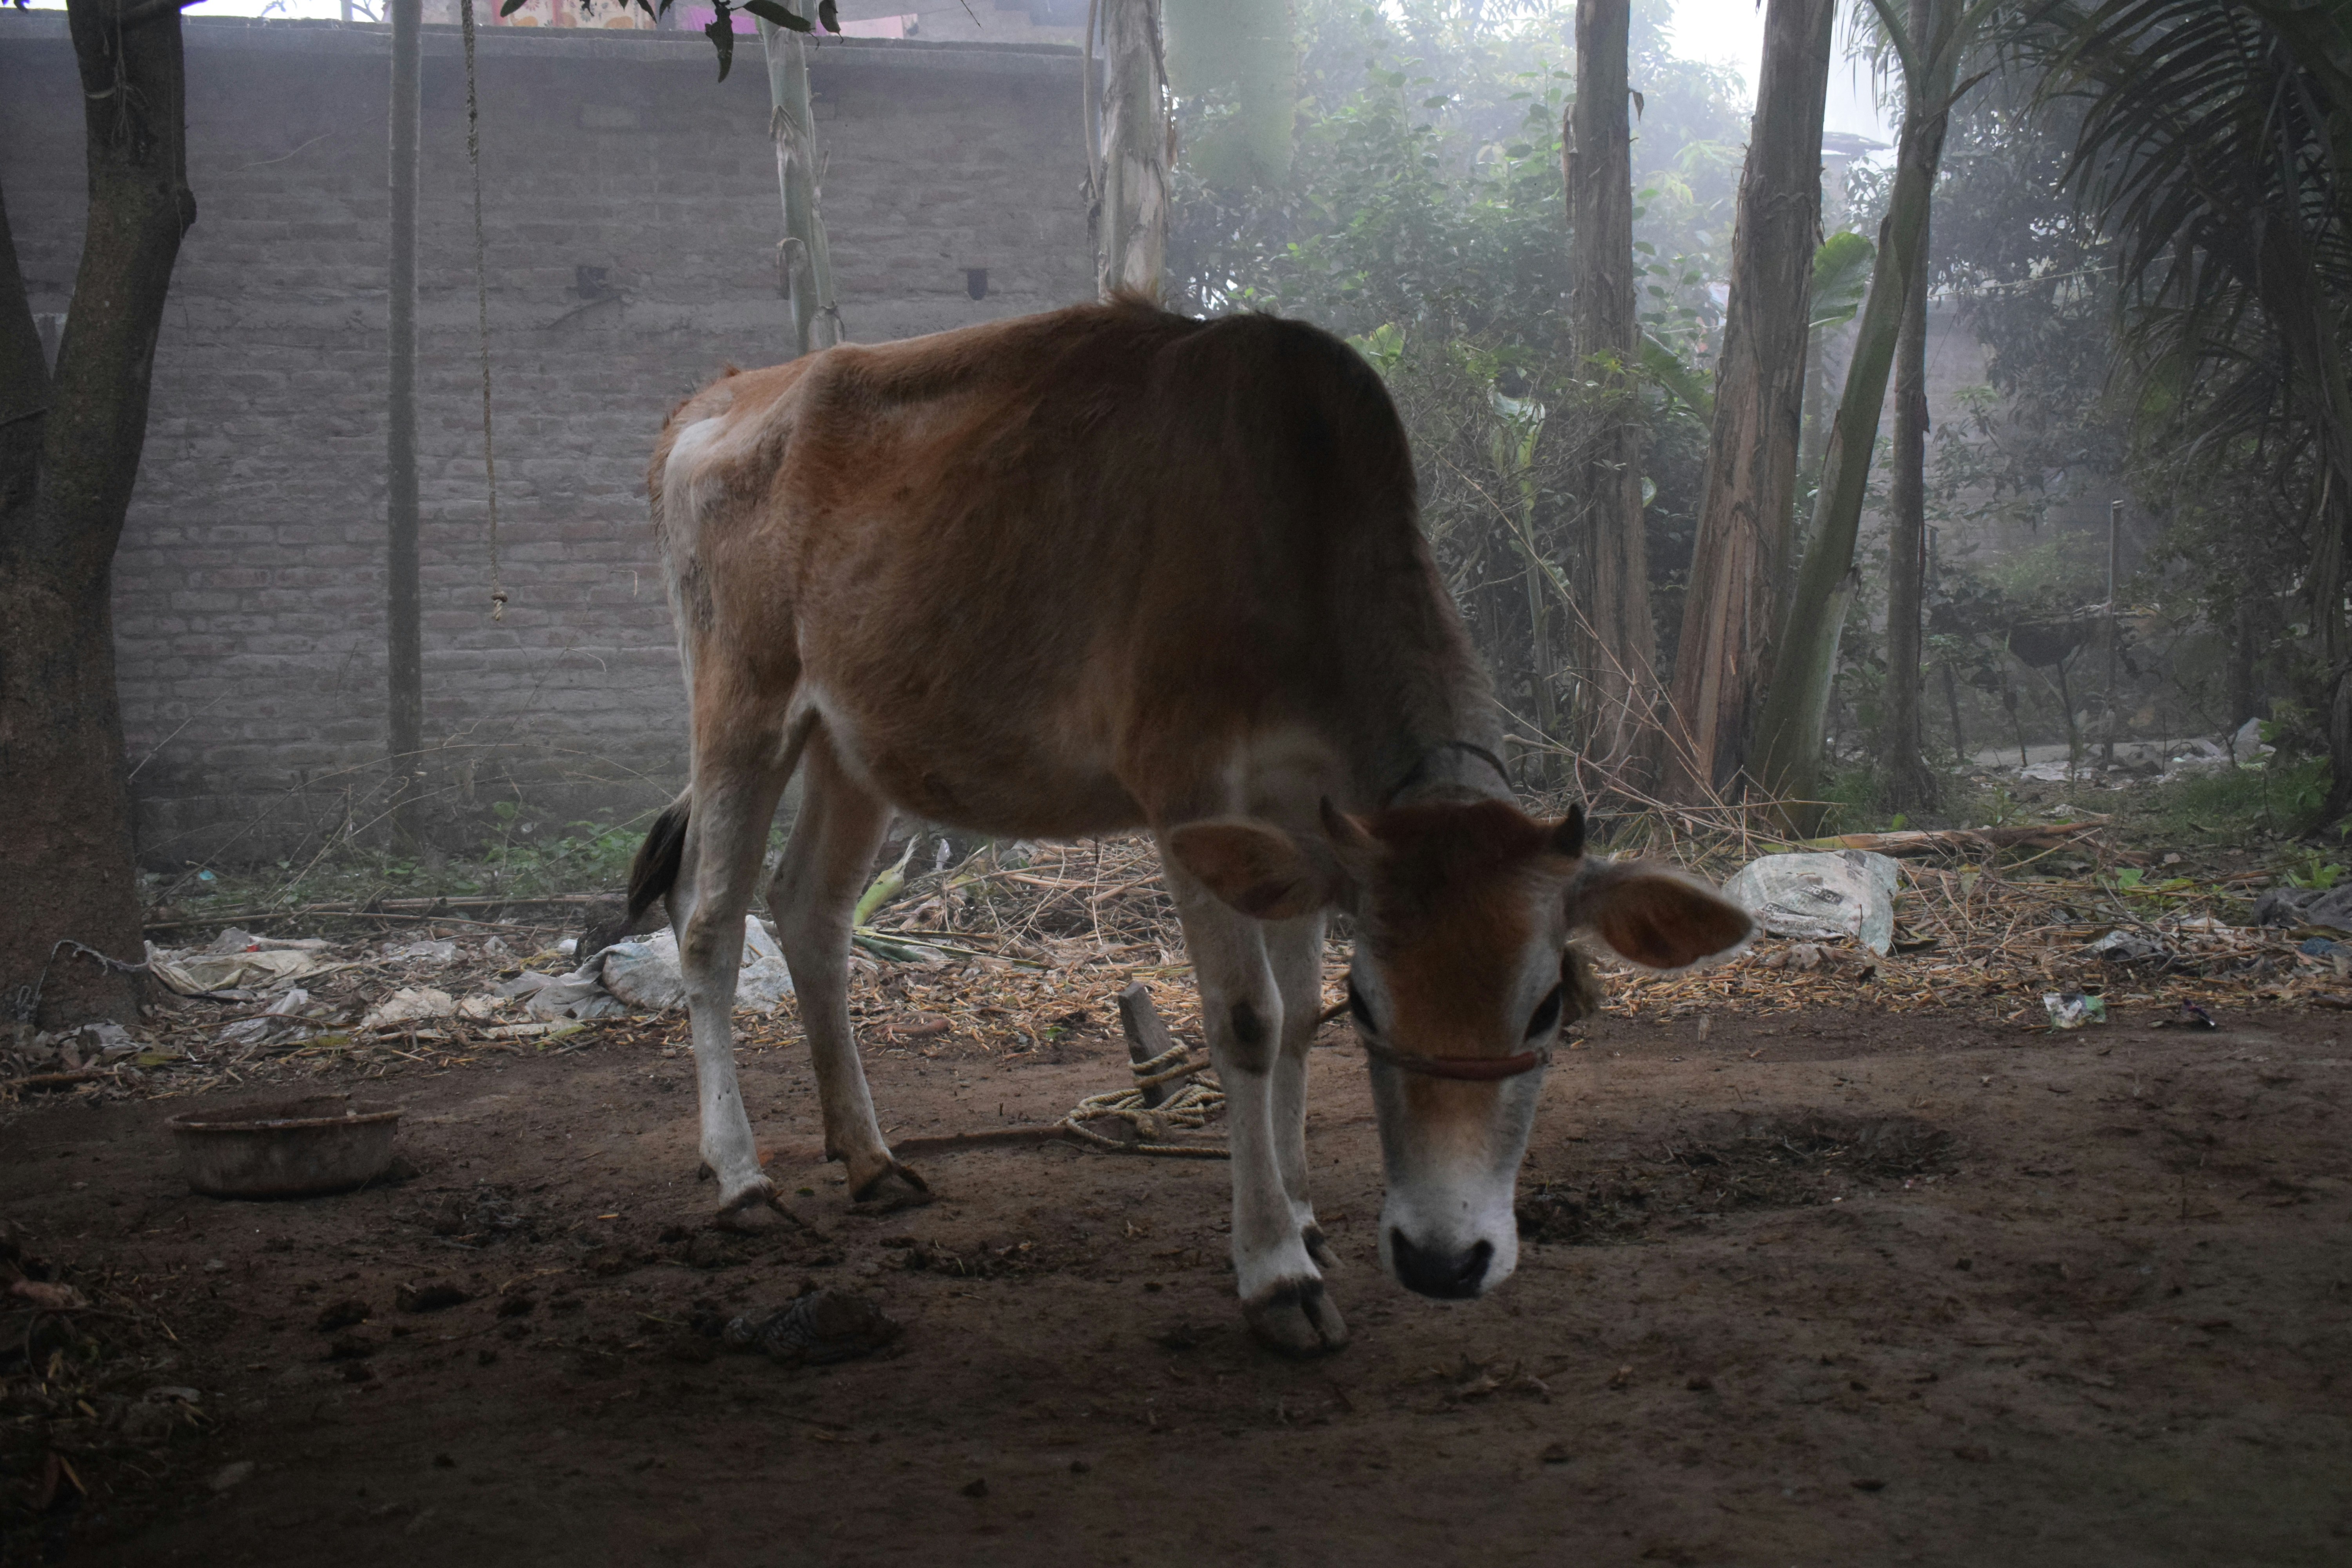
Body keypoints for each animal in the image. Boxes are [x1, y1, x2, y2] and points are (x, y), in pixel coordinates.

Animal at [625, 297, 1752, 1355]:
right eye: (1374, 1004)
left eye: (1550, 1007)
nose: (1444, 1257)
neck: (1298, 539)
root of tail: (711, 399)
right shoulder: (1186, 783)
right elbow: (1247, 1018)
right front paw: (1277, 1274)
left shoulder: (1306, 816)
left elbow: (1295, 1021)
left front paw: (1304, 1216)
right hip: (742, 703)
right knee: (711, 921)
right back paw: (741, 1178)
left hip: (851, 743)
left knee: (809, 911)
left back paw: (869, 1158)